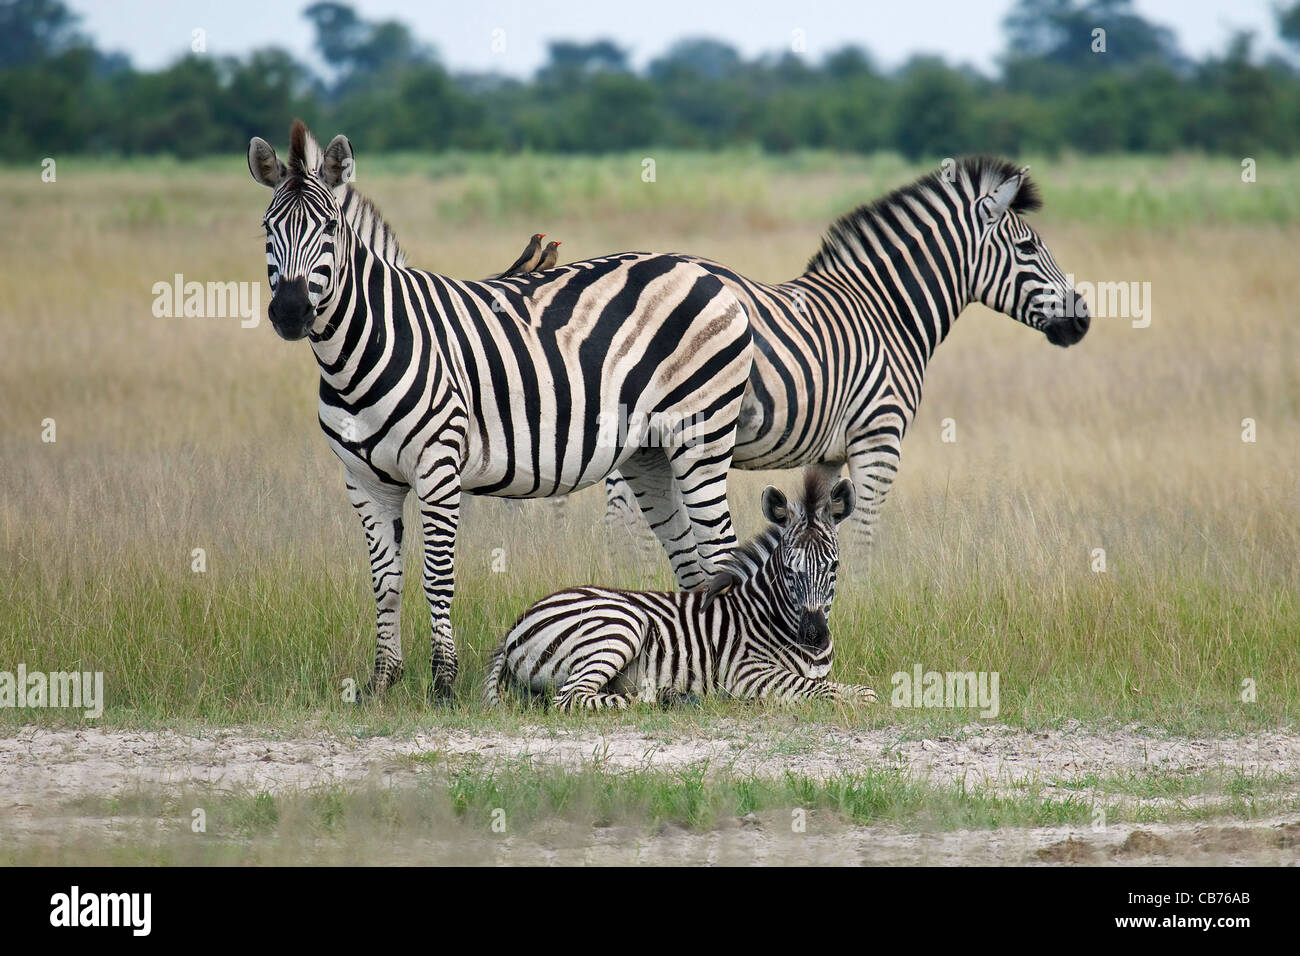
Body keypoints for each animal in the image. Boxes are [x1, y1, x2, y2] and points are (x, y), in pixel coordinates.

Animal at [247, 120, 753, 698]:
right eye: (267, 229)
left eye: (330, 228)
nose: (290, 312)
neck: (363, 348)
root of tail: (702, 271)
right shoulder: (363, 481)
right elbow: (385, 582)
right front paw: (383, 680)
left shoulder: (438, 465)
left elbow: (436, 575)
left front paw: (444, 683)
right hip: (651, 453)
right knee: (691, 561)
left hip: (702, 435)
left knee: (721, 547)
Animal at [484, 469, 877, 710]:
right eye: (789, 571)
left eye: (833, 567)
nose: (814, 637)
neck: (770, 615)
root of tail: (517, 623)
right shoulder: (744, 671)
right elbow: (833, 690)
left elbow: (847, 688)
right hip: (621, 624)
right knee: (571, 697)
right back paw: (659, 699)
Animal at [603, 156, 1091, 559]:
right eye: (1027, 248)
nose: (1082, 319)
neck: (886, 312)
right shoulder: (880, 438)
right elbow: (862, 539)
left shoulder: (828, 453)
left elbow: (822, 520)